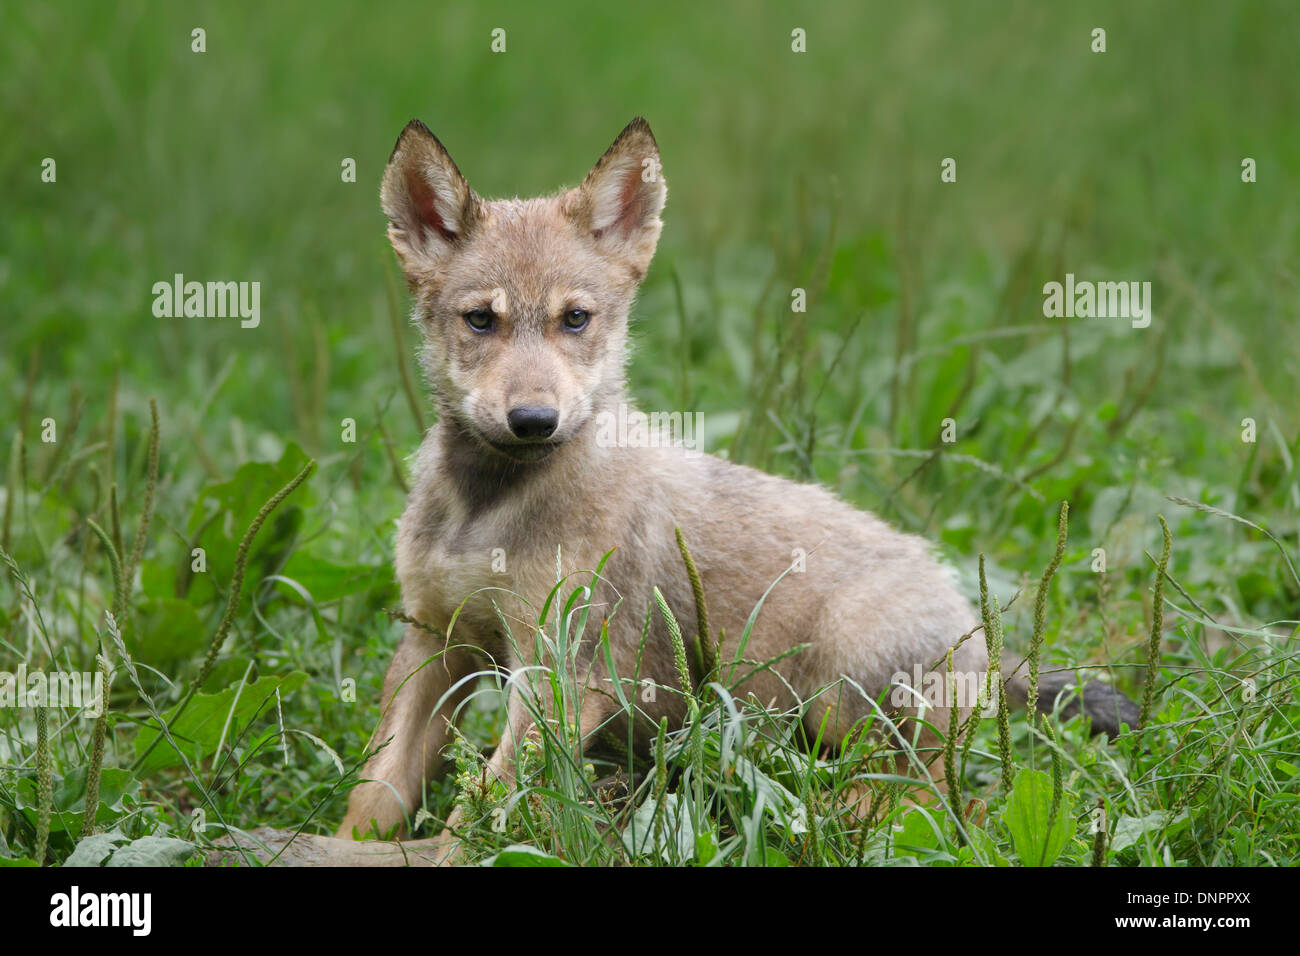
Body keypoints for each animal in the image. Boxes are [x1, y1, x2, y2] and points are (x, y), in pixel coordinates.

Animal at [335, 118, 1135, 851]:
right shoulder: (433, 645)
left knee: (934, 797)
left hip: (843, 679)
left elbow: (477, 817)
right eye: (480, 320)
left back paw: (825, 818)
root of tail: (983, 642)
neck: (488, 506)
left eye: (575, 319)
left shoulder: (557, 674)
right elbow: (375, 793)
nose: (534, 420)